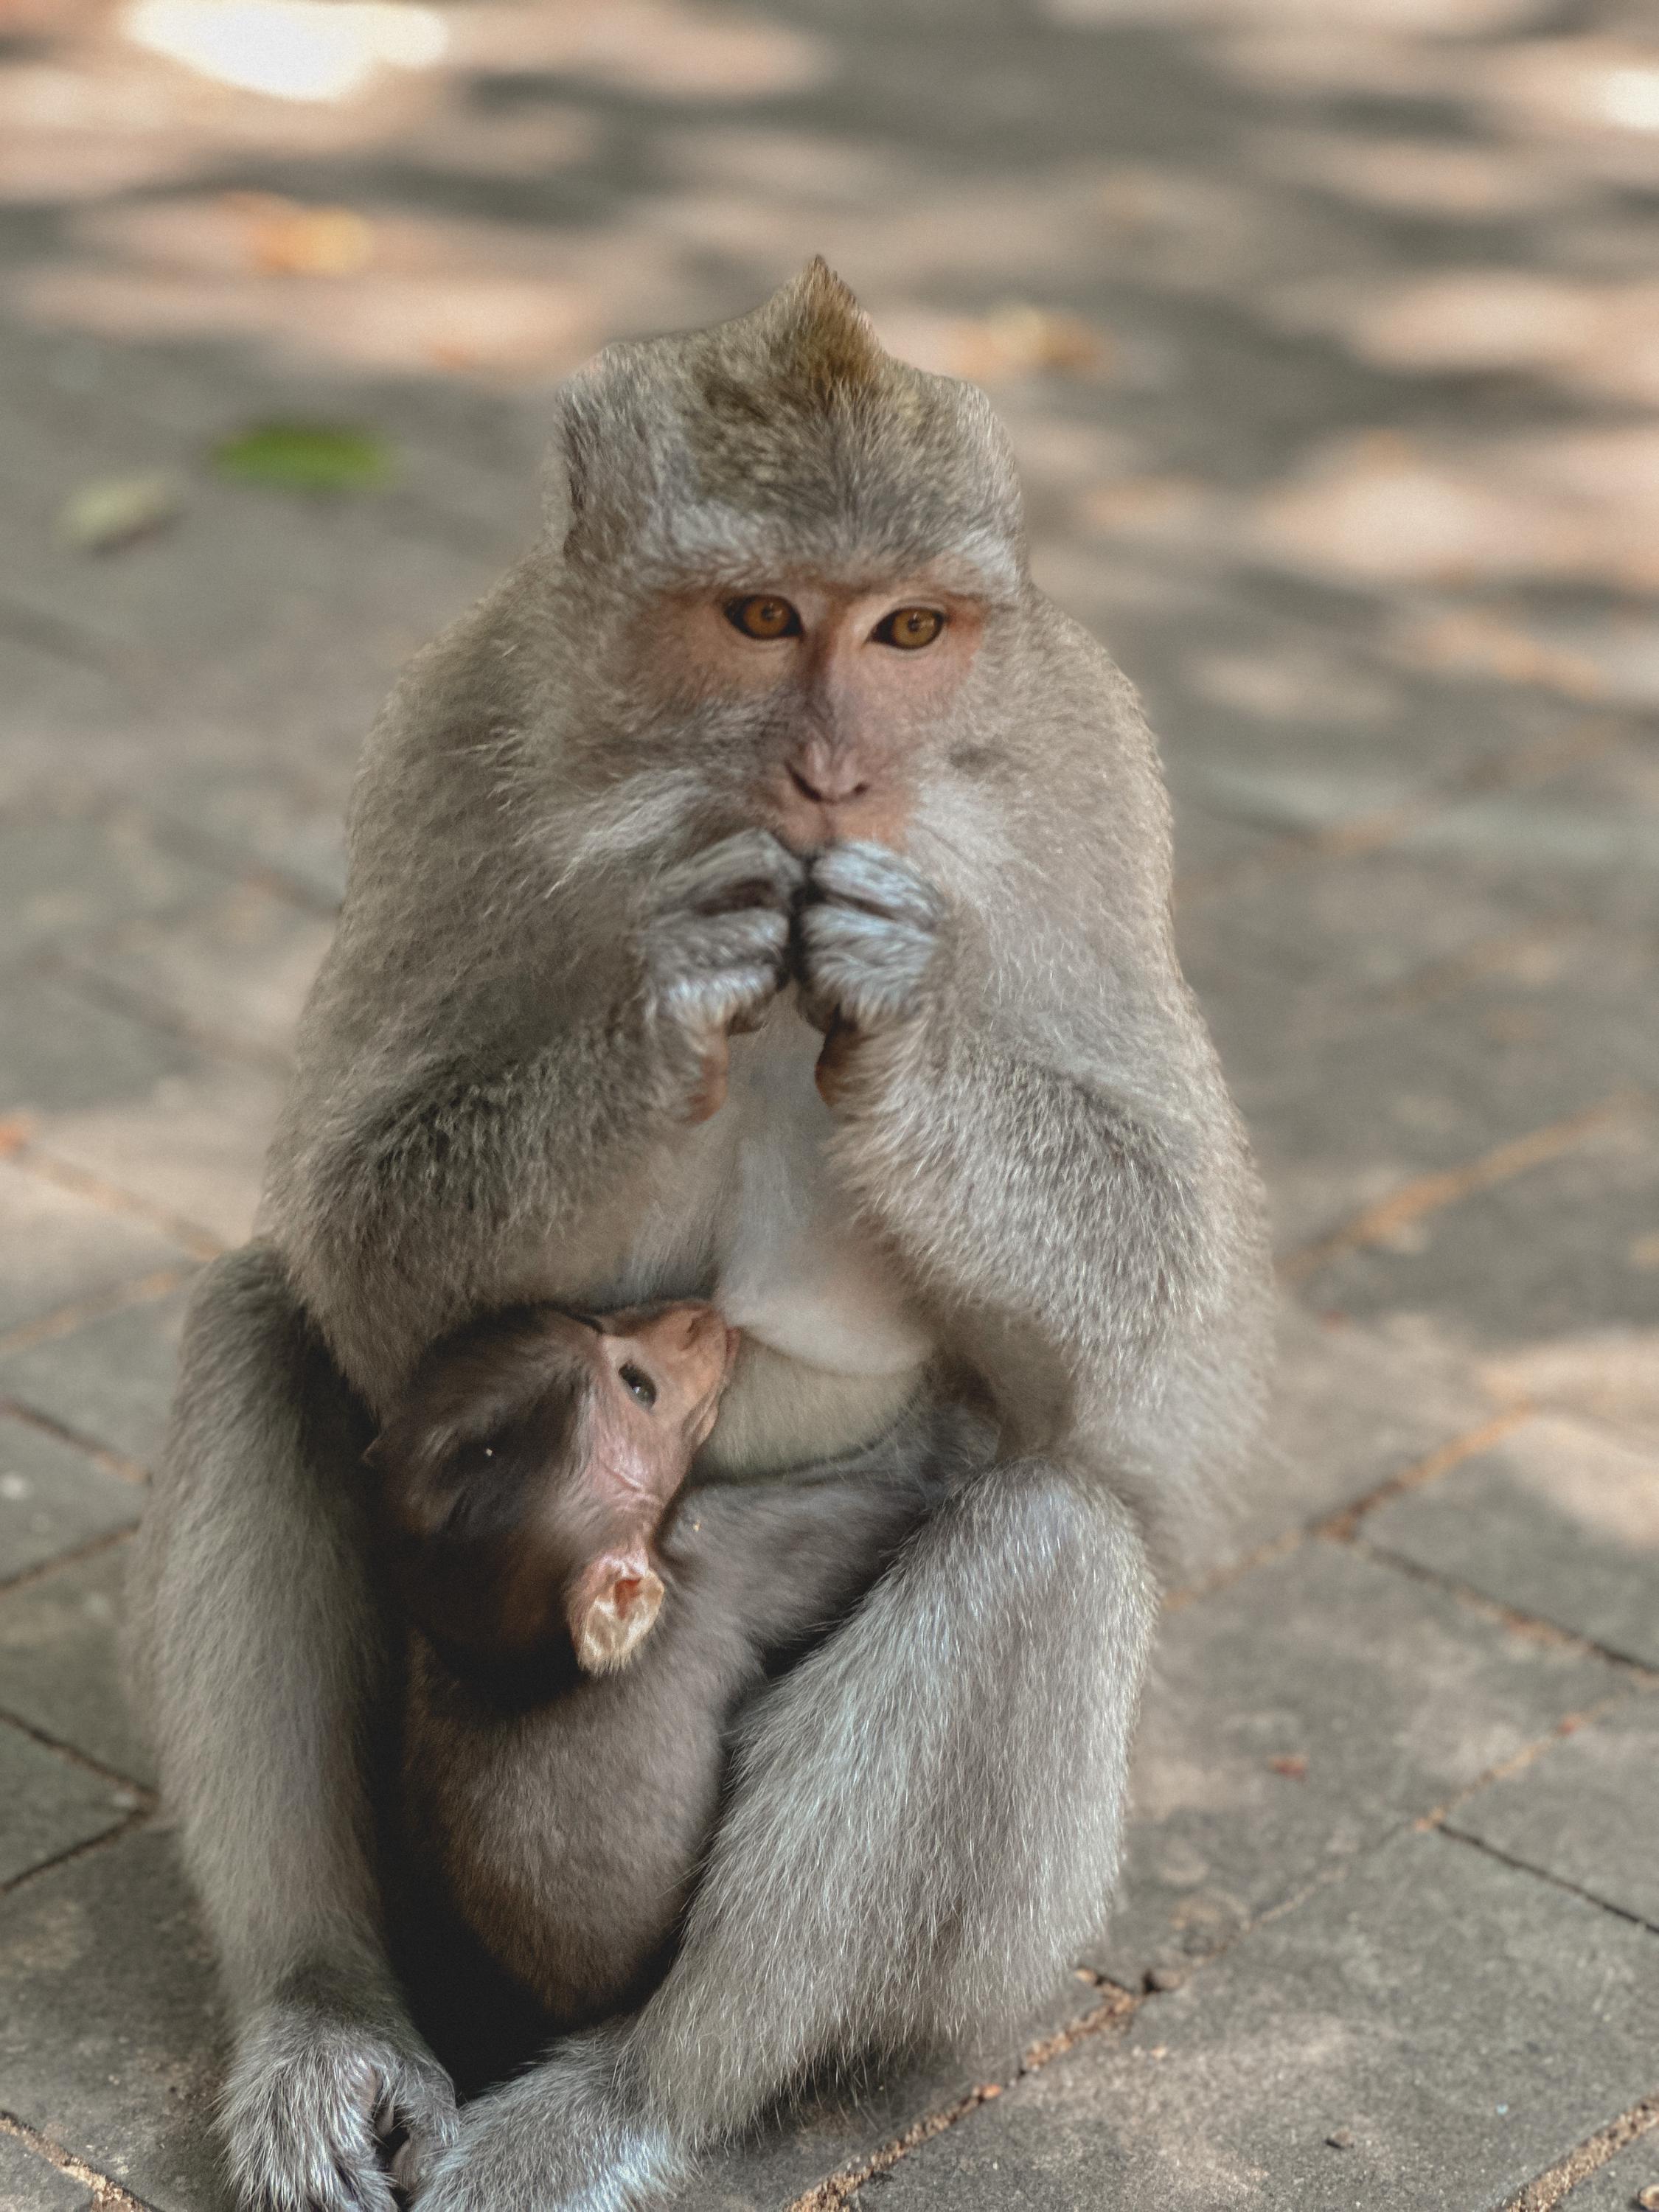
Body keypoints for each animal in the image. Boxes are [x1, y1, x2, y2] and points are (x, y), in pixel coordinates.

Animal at [368, 1299, 964, 2040]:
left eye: (590, 1322)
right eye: (639, 1388)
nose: (695, 1313)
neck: (528, 1673)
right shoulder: (715, 1559)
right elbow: (899, 1495)